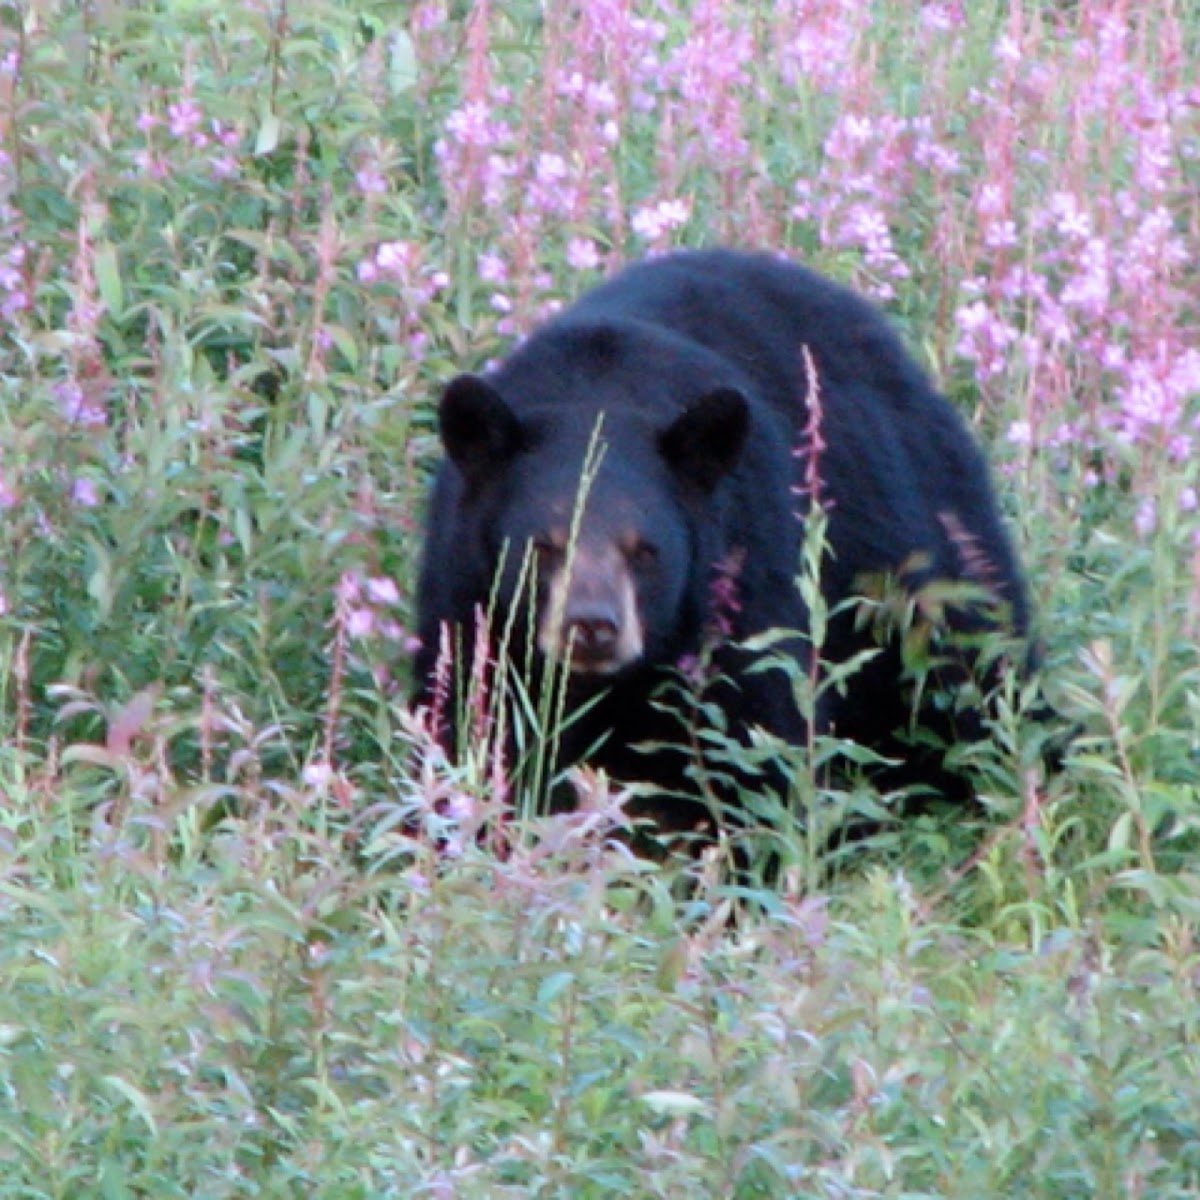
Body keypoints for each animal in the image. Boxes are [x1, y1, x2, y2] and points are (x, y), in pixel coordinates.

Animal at [412, 248, 1034, 837]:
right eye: (542, 545)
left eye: (645, 551)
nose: (591, 626)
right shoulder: (464, 598)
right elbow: (470, 724)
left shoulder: (747, 583)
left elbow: (758, 747)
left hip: (921, 557)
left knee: (973, 677)